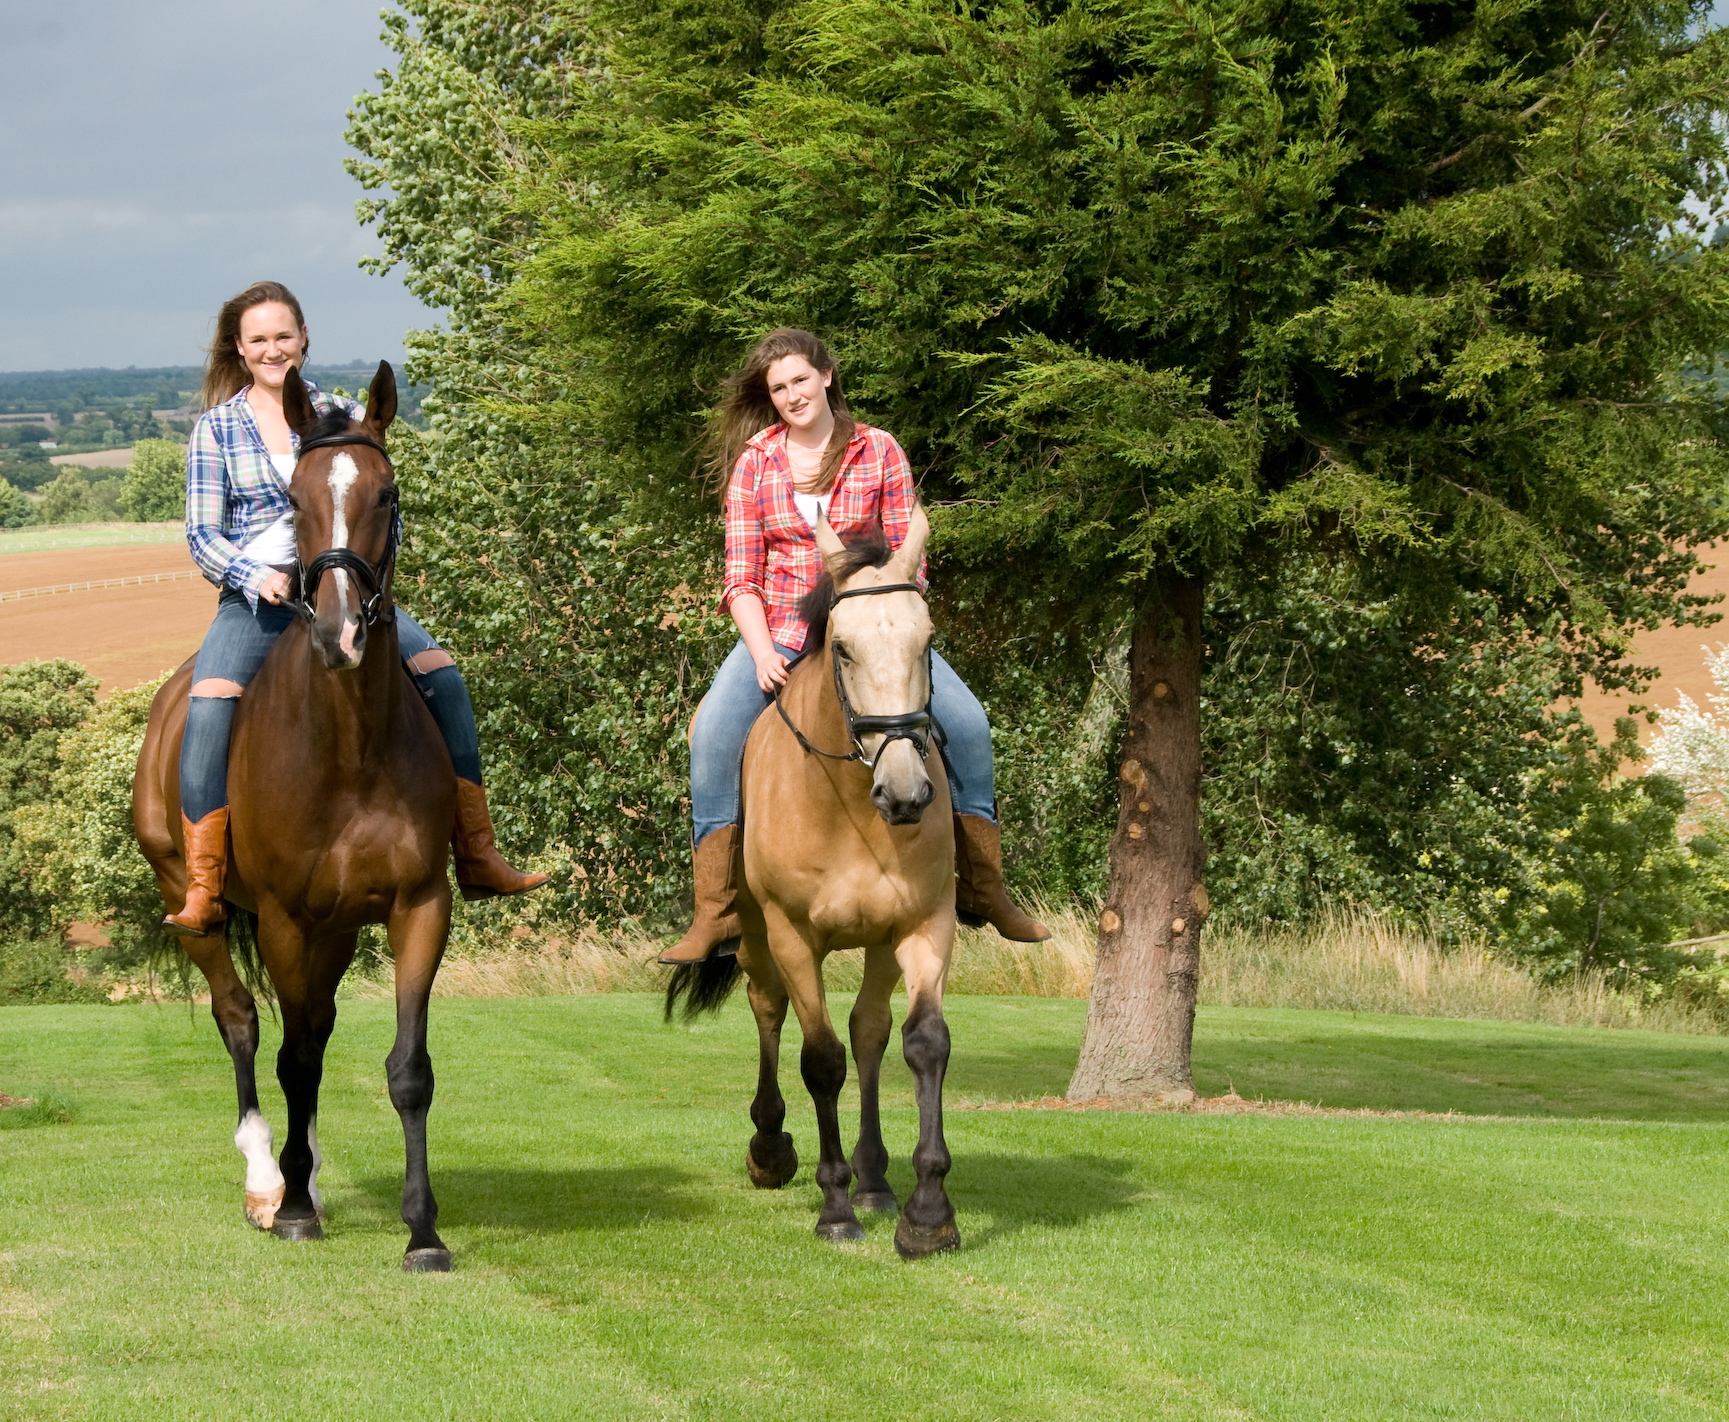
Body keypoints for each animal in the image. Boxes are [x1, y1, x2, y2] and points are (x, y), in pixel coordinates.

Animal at [133, 362, 458, 1271]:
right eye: (295, 497)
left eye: (387, 493)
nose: (340, 633)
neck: (348, 746)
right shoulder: (279, 915)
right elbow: (291, 1058)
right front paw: (294, 1207)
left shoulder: (418, 905)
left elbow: (407, 1069)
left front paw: (422, 1232)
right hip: (198, 906)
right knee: (243, 1023)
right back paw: (267, 1181)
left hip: (335, 926)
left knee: (315, 1022)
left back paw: (300, 1167)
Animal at [667, 505, 962, 1259]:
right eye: (845, 650)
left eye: (926, 643)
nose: (906, 793)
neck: (849, 805)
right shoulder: (792, 934)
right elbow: (821, 1059)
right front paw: (835, 1209)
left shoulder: (921, 925)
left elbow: (921, 1043)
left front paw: (926, 1213)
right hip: (756, 936)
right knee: (769, 1011)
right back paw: (770, 1147)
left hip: (879, 942)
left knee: (870, 1030)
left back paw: (875, 1179)